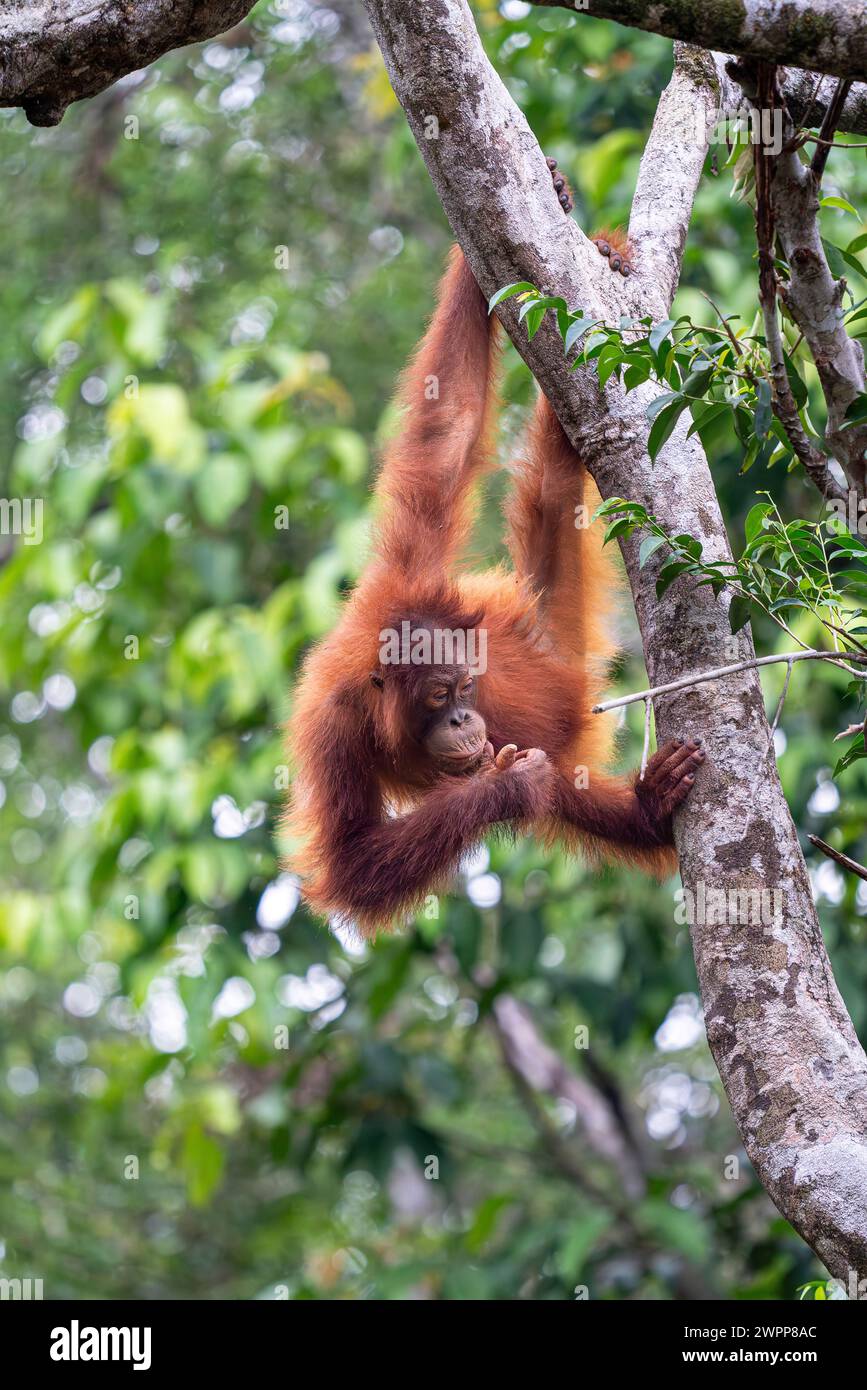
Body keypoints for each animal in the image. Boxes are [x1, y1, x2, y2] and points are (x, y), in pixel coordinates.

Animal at [285, 157, 703, 934]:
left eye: (465, 687)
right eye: (439, 694)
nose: (461, 717)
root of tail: (565, 664)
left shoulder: (412, 577)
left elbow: (446, 426)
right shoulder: (331, 727)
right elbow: (353, 861)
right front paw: (507, 791)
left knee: (549, 484)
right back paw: (649, 812)